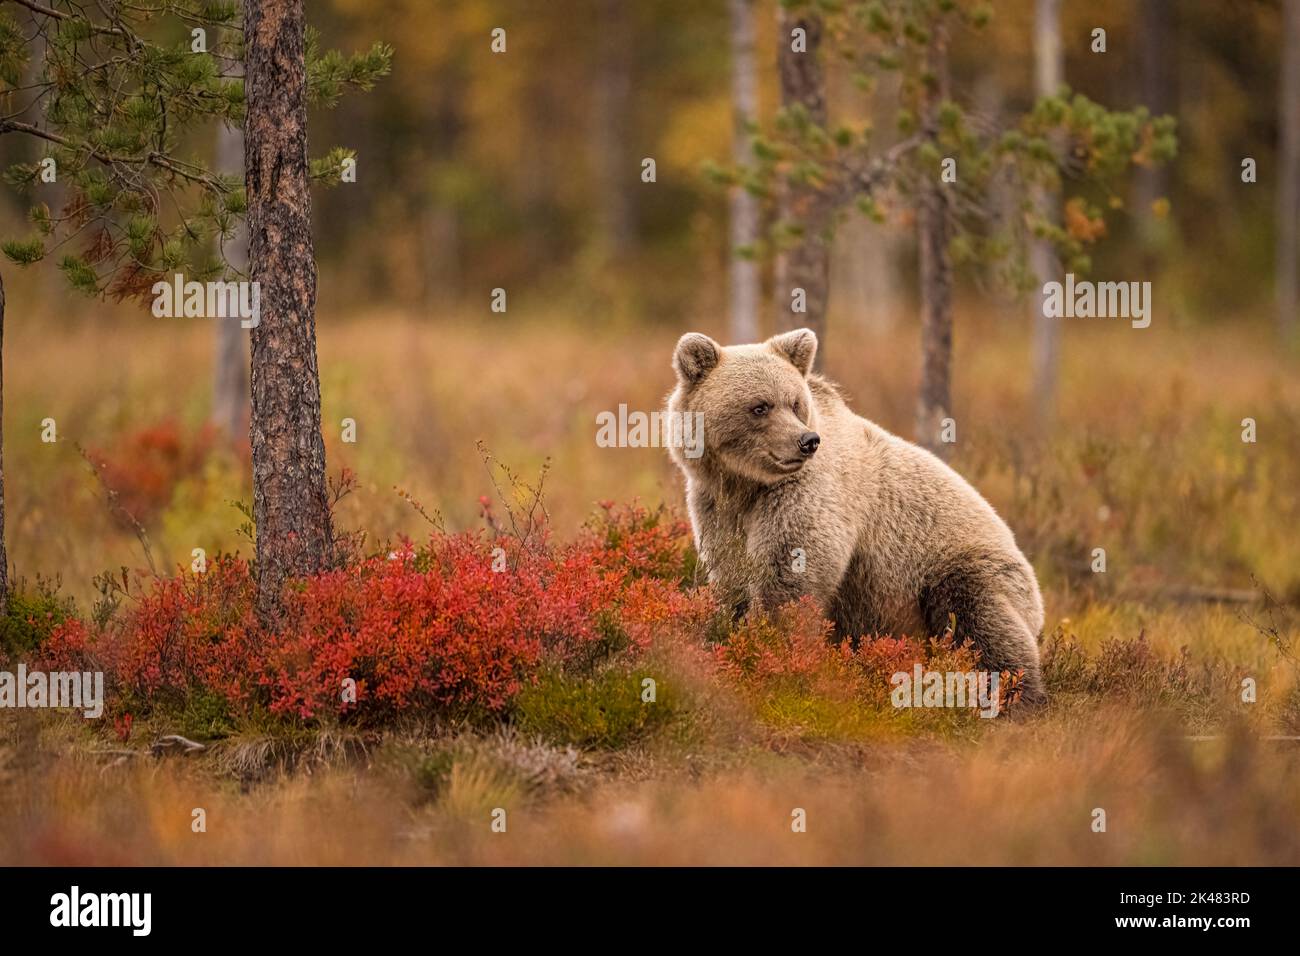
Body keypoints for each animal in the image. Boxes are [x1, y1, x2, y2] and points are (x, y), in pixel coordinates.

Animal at [665, 327, 1046, 705]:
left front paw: (770, 647)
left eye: (795, 403)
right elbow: (731, 575)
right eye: (760, 406)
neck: (745, 485)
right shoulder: (716, 507)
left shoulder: (806, 496)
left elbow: (790, 575)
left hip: (961, 567)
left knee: (982, 623)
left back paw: (1017, 696)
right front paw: (725, 631)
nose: (806, 441)